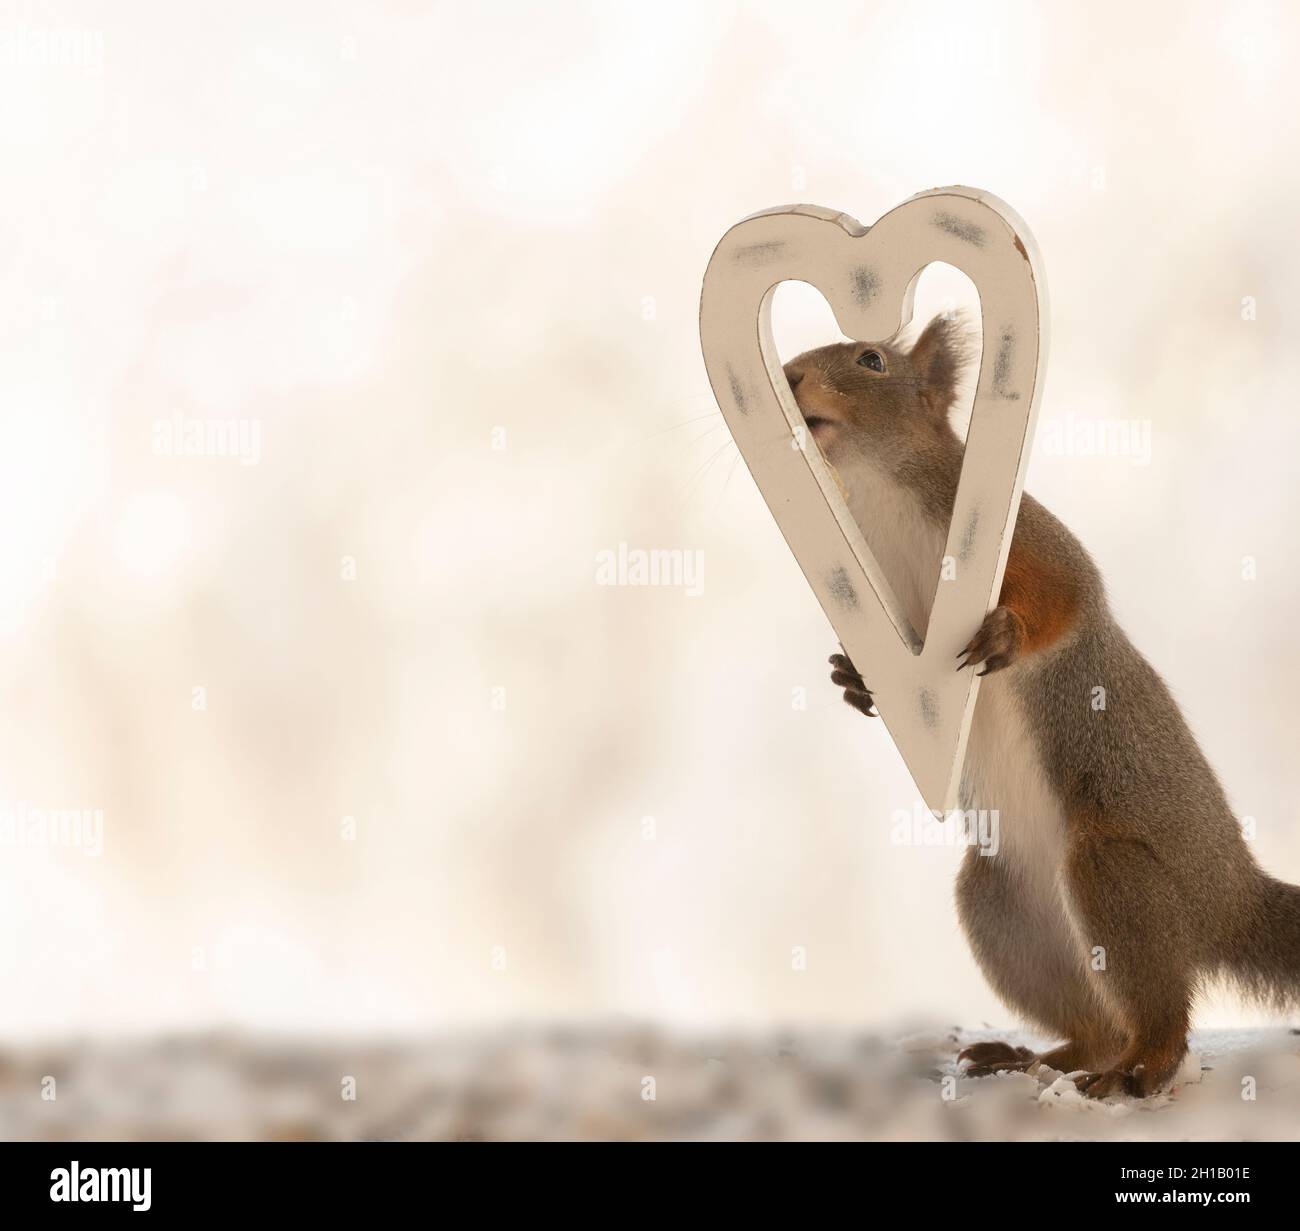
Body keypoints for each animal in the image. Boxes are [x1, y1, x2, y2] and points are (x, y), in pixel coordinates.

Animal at [783, 317, 1300, 1098]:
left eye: (871, 361)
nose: (786, 376)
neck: (878, 496)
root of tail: (1231, 899)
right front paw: (855, 679)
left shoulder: (1026, 534)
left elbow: (1066, 594)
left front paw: (1007, 633)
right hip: (1003, 907)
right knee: (1096, 1026)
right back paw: (1036, 1057)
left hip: (1114, 874)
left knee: (1160, 1018)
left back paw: (1142, 1066)